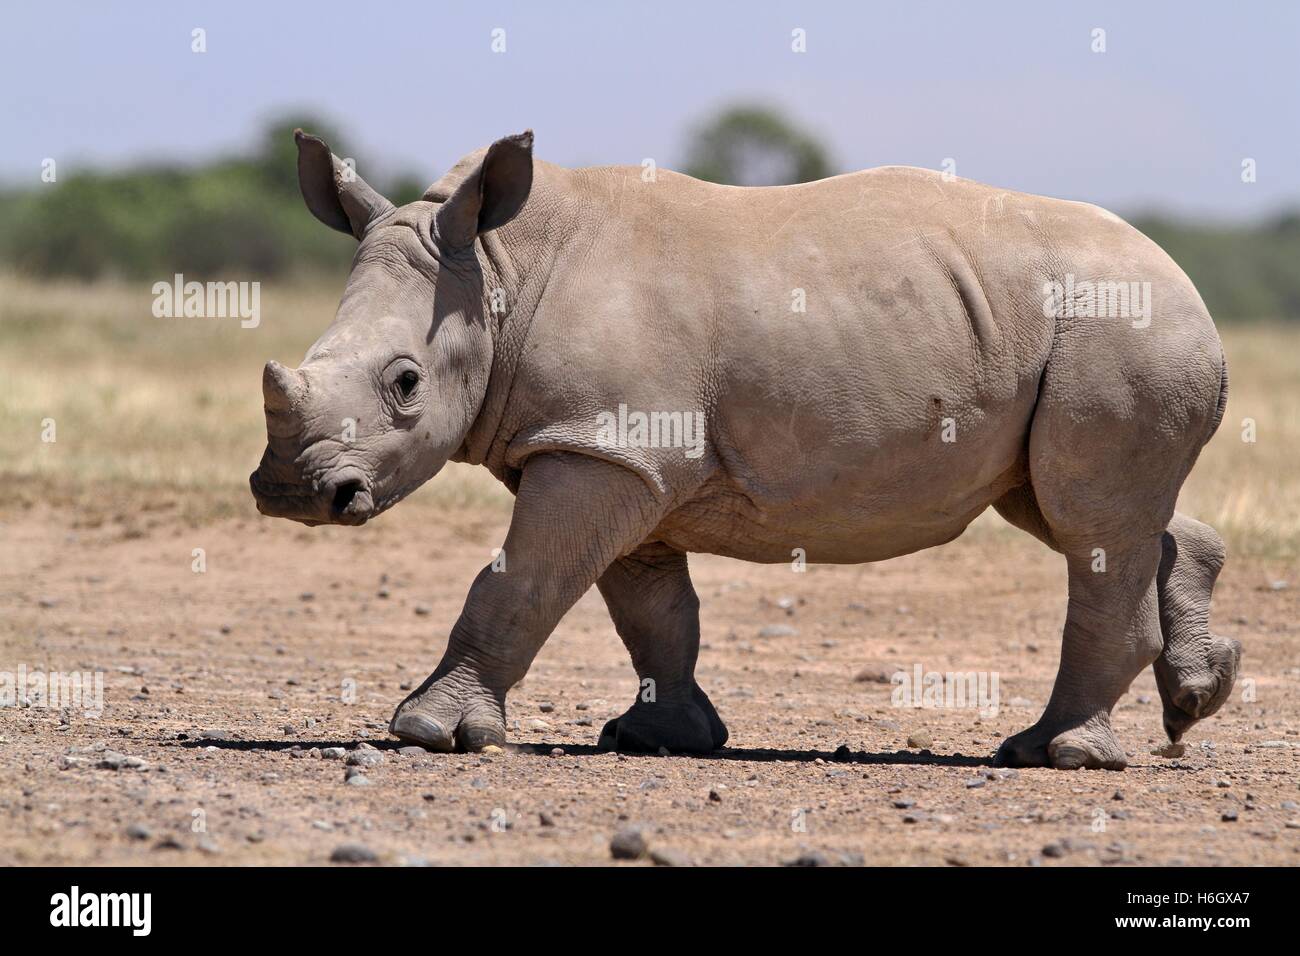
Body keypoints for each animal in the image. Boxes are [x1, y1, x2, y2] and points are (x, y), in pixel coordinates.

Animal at [249, 129, 1239, 769]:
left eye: (405, 383)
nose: (293, 493)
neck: (498, 271)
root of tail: (1195, 291)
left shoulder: (597, 448)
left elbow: (519, 583)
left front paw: (428, 733)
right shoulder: (619, 453)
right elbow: (650, 610)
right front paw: (661, 738)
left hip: (1123, 333)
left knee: (1086, 523)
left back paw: (1054, 755)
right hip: (1078, 337)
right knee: (1075, 513)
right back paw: (1195, 695)